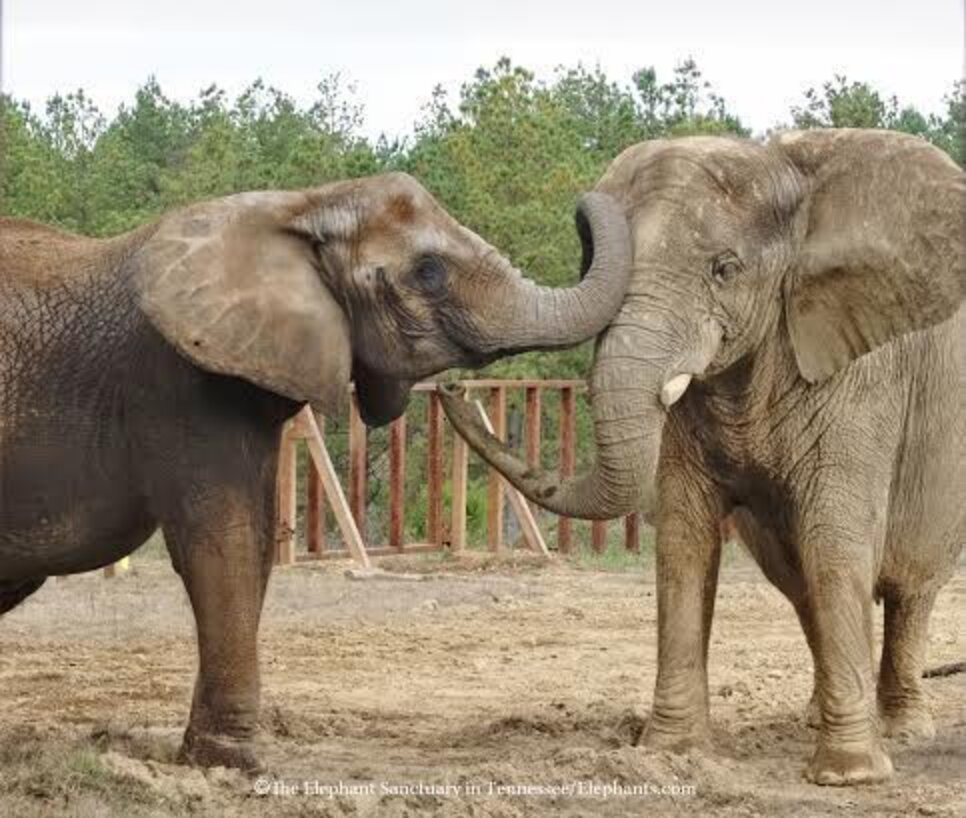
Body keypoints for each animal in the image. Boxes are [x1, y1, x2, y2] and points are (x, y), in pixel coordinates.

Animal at [0, 171, 632, 770]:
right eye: (427, 272)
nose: (454, 391)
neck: (301, 204)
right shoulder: (180, 382)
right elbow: (224, 544)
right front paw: (230, 764)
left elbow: (256, 543)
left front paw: (208, 756)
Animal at [440, 129, 965, 785]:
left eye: (725, 270)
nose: (452, 389)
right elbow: (685, 540)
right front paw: (669, 753)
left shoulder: (859, 373)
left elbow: (834, 539)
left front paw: (849, 776)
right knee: (797, 581)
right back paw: (816, 718)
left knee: (911, 585)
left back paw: (903, 730)